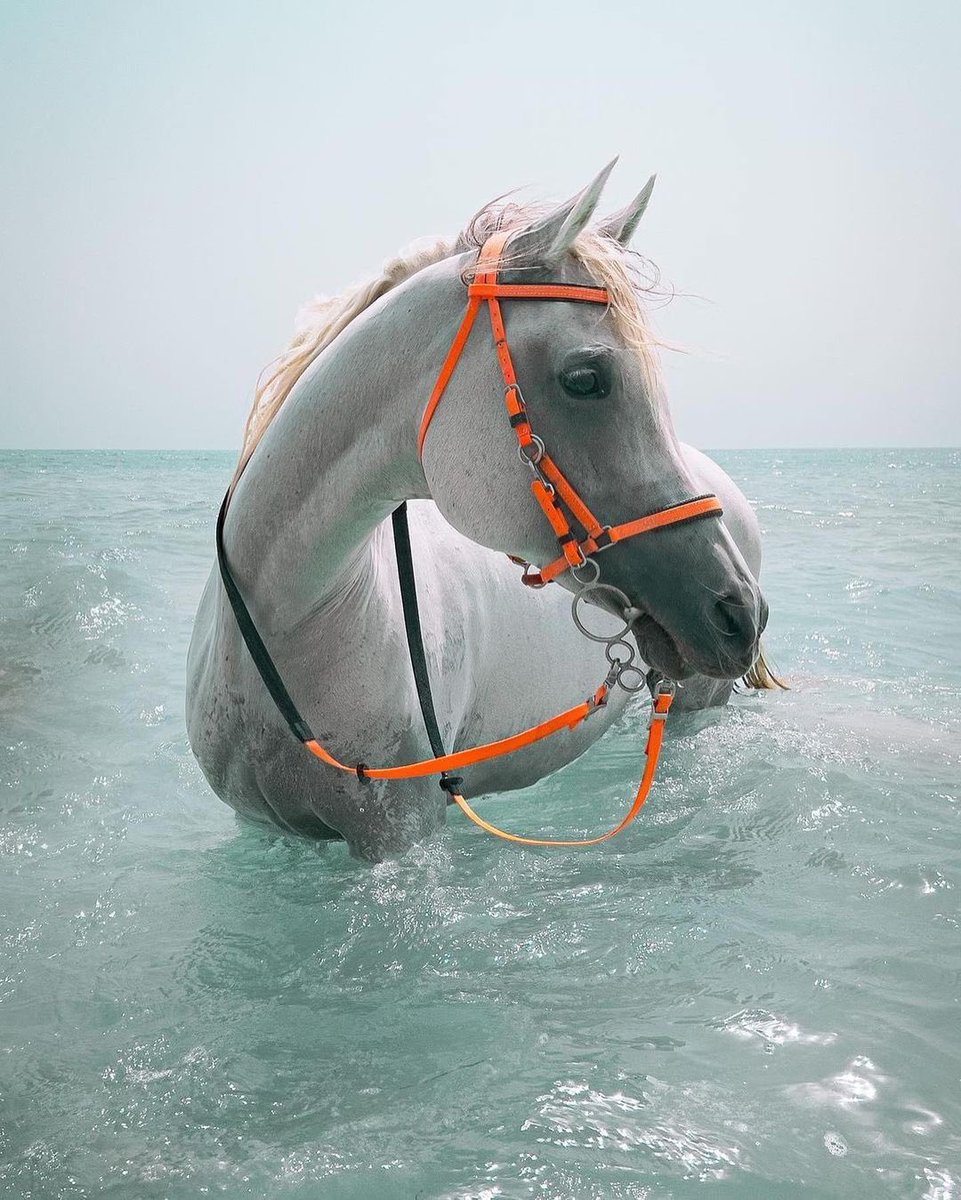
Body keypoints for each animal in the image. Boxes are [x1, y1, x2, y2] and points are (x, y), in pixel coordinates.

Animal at [186, 161, 775, 862]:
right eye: (586, 379)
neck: (293, 617)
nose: (739, 613)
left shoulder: (399, 834)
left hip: (697, 704)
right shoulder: (260, 826)